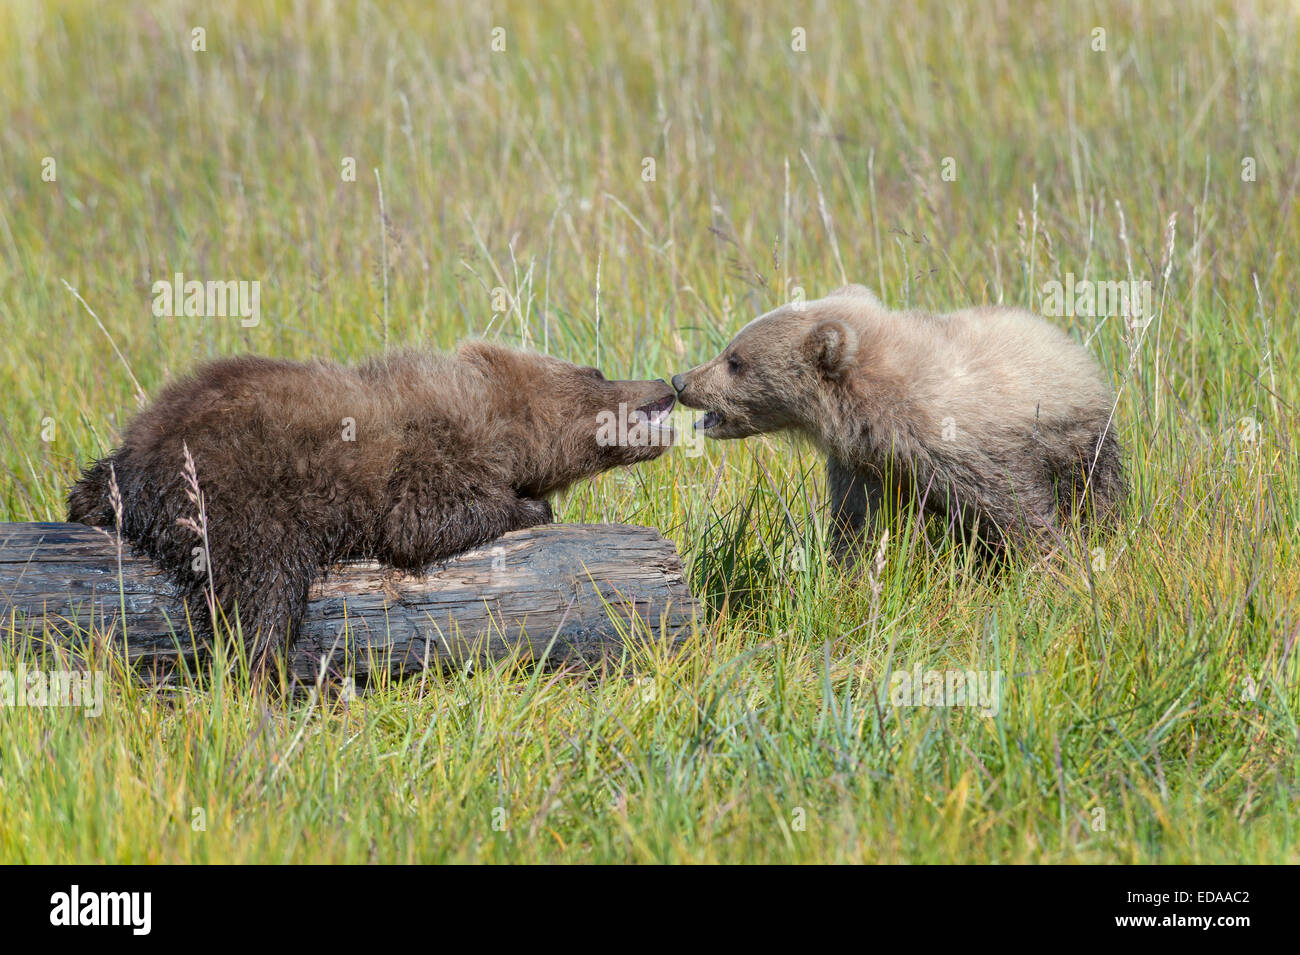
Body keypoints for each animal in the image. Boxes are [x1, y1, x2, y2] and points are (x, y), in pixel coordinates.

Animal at [68, 342, 677, 670]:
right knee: (263, 590)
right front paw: (531, 509)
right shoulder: (428, 458)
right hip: (236, 494)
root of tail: (143, 454)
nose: (665, 381)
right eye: (596, 371)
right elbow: (426, 523)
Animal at [671, 284, 1124, 560]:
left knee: (1099, 494)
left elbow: (1017, 511)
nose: (681, 381)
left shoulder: (970, 449)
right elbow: (858, 523)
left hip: (1080, 440)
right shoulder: (867, 462)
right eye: (730, 349)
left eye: (735, 360)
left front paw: (1054, 560)